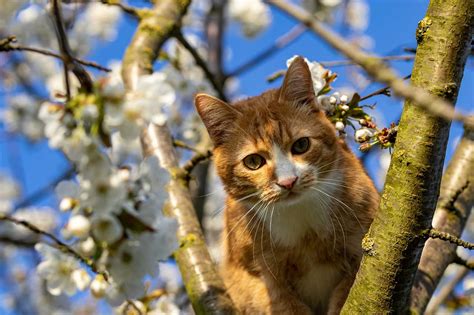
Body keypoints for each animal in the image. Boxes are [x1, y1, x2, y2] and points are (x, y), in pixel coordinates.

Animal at [194, 57, 376, 315]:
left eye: (301, 145)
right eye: (253, 162)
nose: (288, 181)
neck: (304, 230)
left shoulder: (361, 256)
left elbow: (346, 295)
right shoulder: (254, 280)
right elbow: (285, 305)